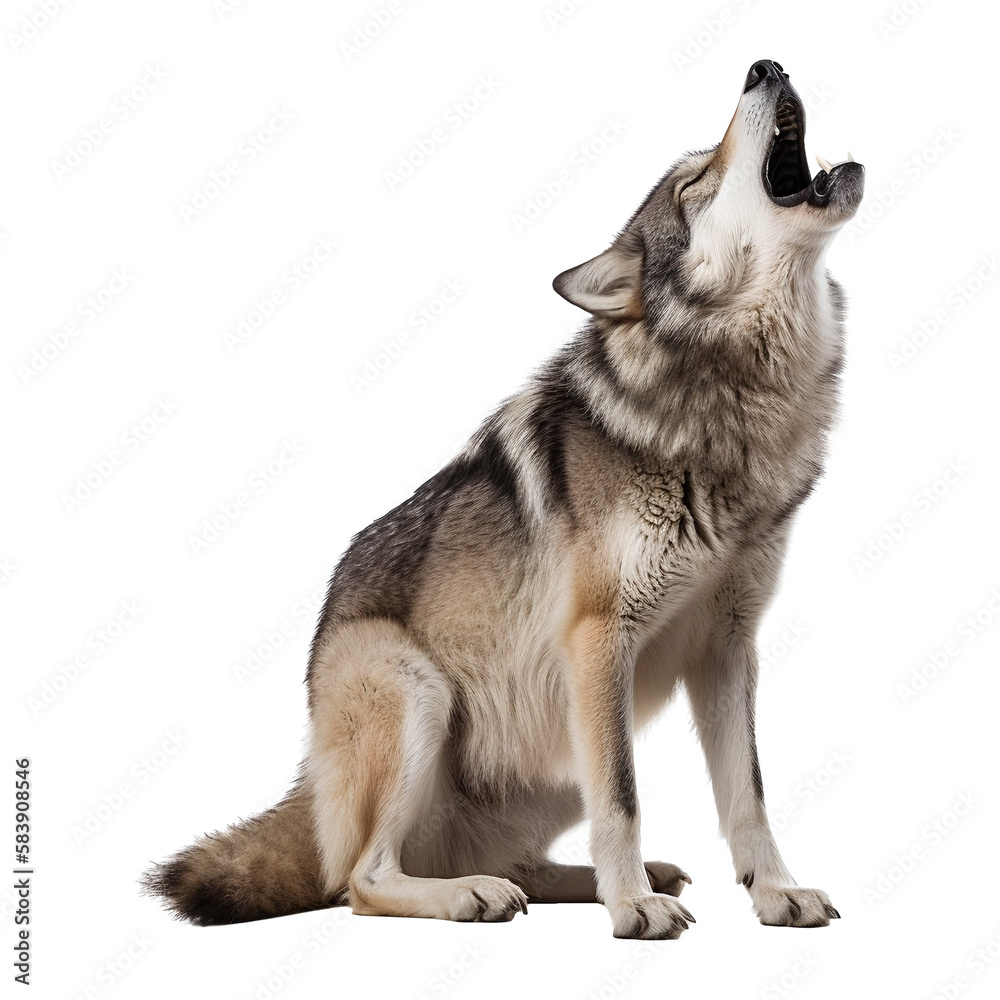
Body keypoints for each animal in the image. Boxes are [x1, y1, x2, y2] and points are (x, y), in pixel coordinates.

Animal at [144, 59, 863, 939]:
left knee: (514, 860)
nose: (766, 66)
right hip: (423, 692)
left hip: (556, 742)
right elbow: (626, 798)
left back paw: (588, 879)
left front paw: (773, 893)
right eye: (695, 184)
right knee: (360, 882)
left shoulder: (728, 648)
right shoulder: (600, 640)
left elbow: (749, 794)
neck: (732, 405)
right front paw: (632, 910)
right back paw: (476, 894)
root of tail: (308, 782)